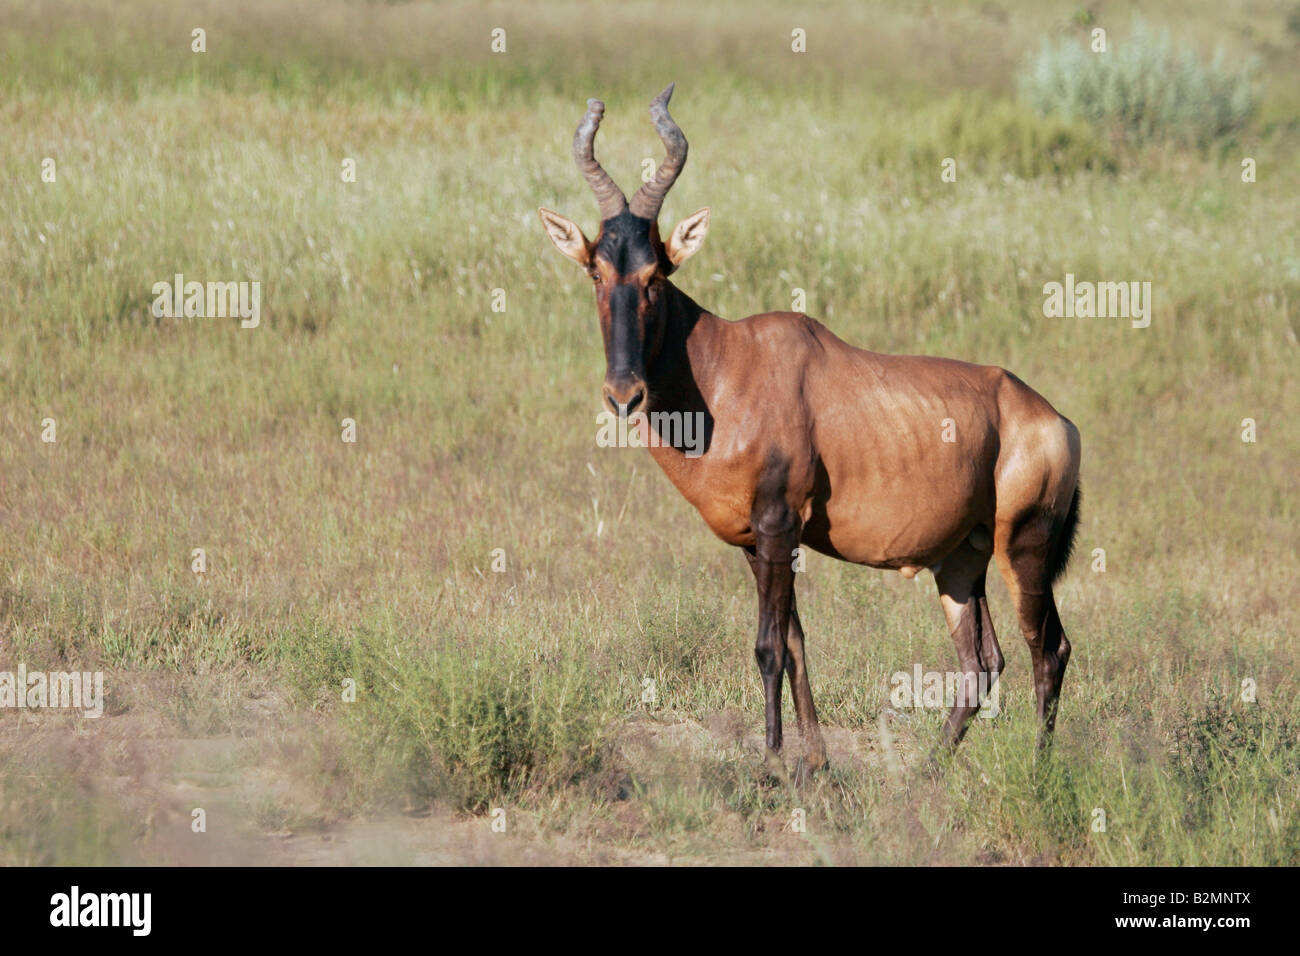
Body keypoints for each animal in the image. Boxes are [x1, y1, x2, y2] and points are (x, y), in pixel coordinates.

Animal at [539, 85, 1082, 779]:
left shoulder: (777, 525)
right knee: (982, 661)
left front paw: (772, 763)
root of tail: (1053, 419)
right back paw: (928, 770)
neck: (729, 365)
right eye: (596, 272)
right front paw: (815, 762)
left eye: (656, 275)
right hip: (962, 558)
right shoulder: (759, 542)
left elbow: (768, 646)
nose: (623, 394)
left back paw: (1039, 772)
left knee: (1049, 649)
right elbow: (796, 641)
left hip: (1025, 546)